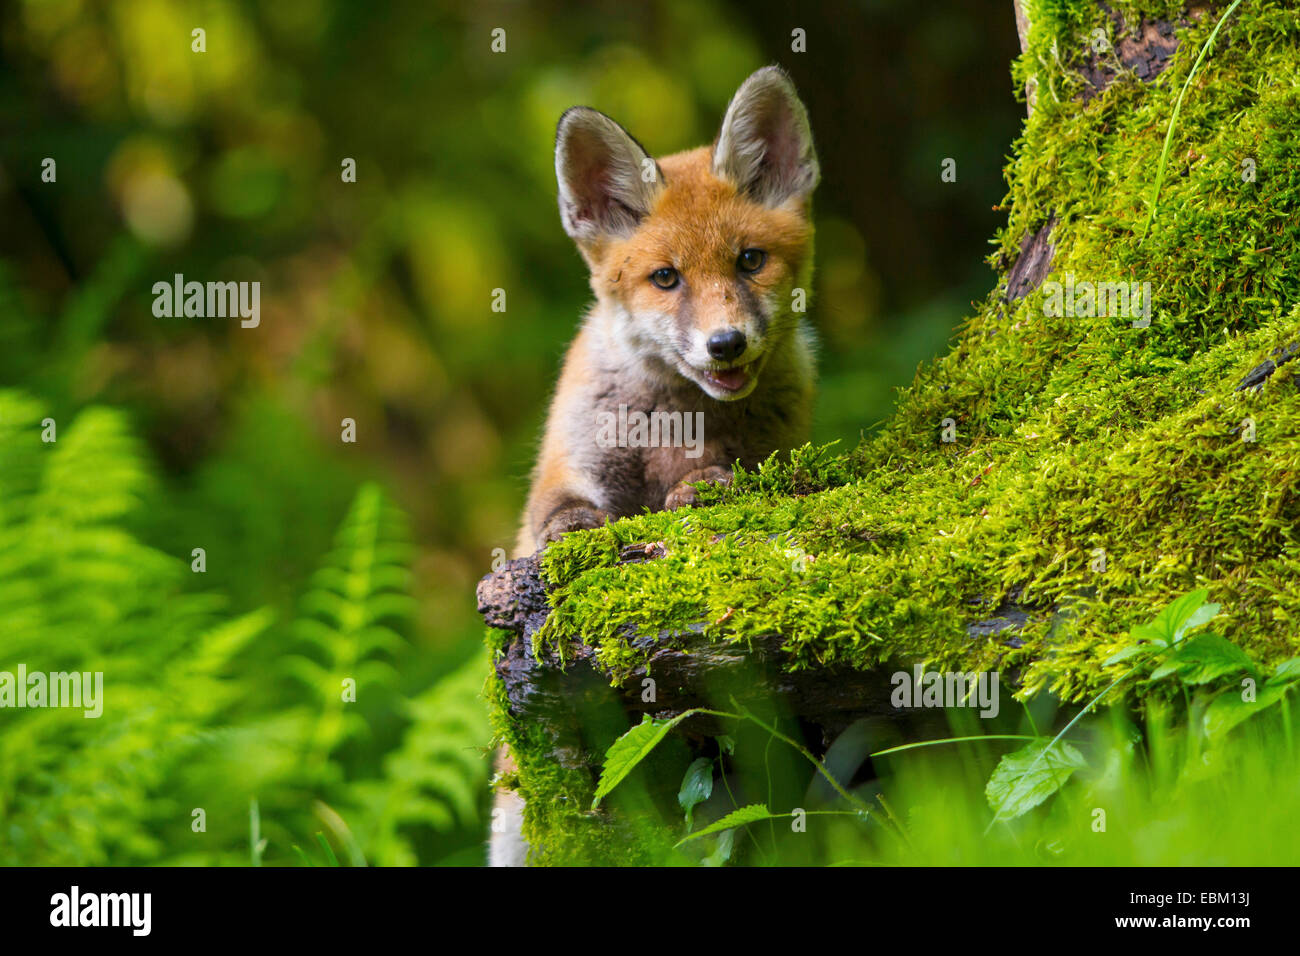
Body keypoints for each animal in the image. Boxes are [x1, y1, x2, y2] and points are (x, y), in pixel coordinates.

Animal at [490, 65, 820, 866]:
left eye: (749, 261)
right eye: (666, 278)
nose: (726, 344)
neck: (673, 421)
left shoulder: (769, 450)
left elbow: (724, 476)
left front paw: (701, 490)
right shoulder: (567, 466)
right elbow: (561, 514)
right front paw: (573, 534)